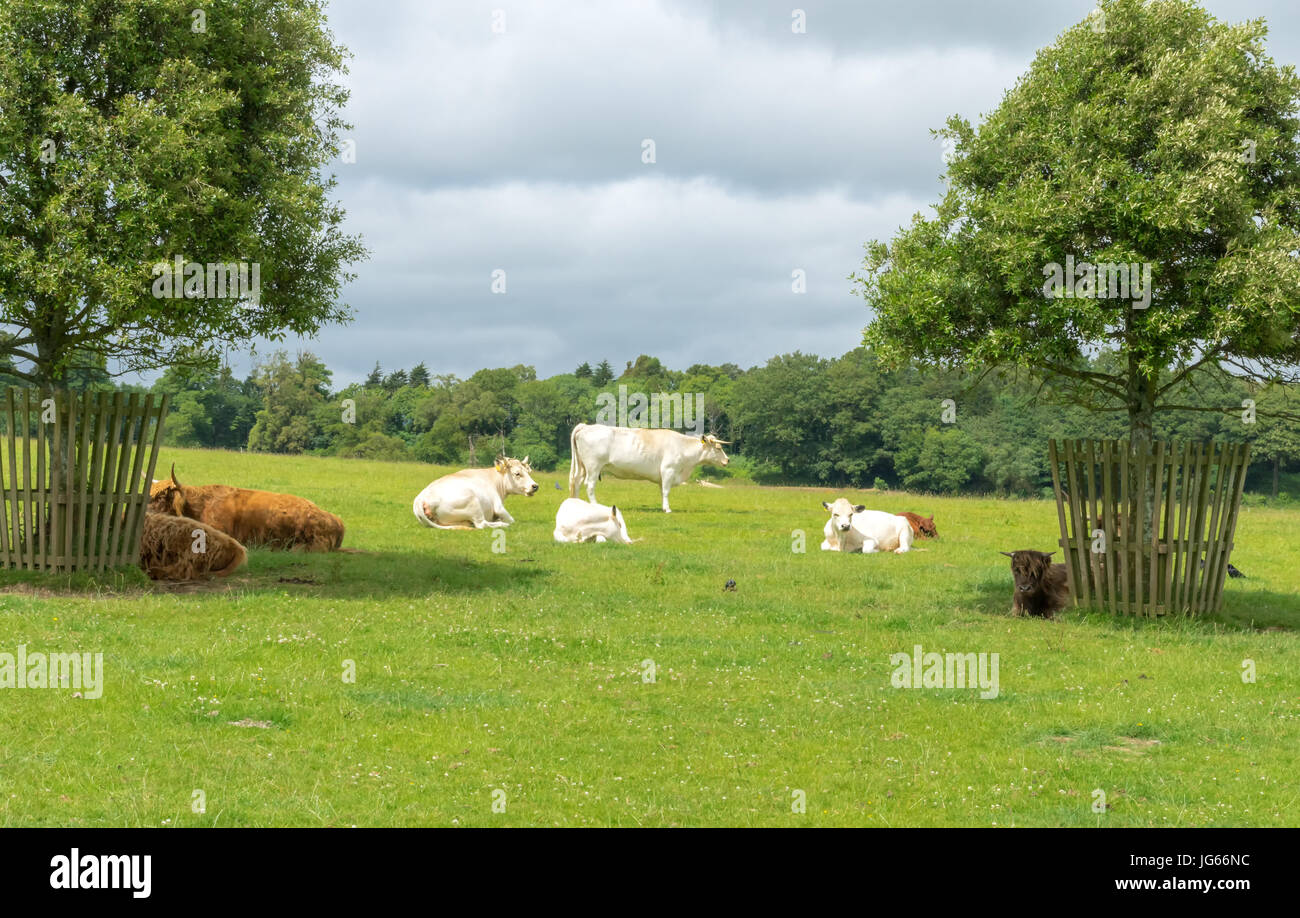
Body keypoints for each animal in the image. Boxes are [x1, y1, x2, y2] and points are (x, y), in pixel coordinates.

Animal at [569, 423, 729, 512]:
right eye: (719, 448)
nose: (727, 460)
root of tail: (586, 426)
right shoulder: (668, 470)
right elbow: (666, 491)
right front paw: (668, 509)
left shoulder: (662, 476)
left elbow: (662, 491)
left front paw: (663, 507)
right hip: (593, 467)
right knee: (590, 486)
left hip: (583, 467)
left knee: (576, 482)